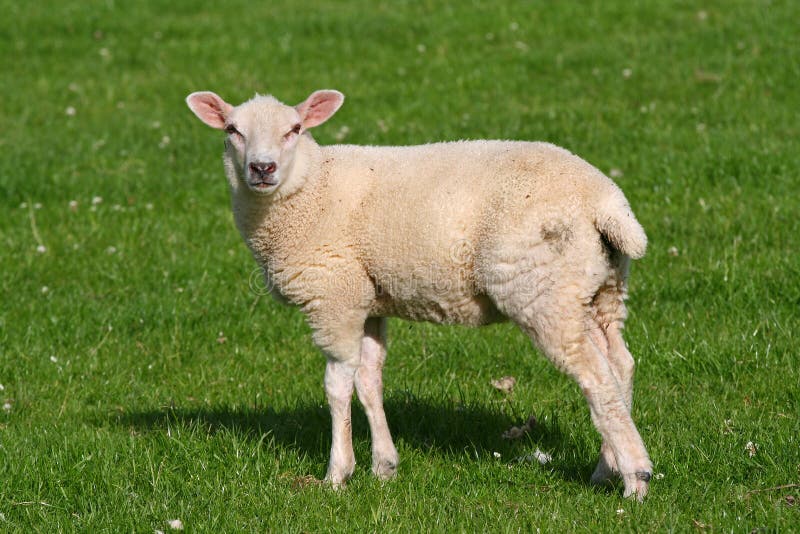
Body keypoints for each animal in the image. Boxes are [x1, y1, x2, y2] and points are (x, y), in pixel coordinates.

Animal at [185, 89, 653, 500]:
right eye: (232, 130)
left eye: (294, 129)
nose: (261, 168)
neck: (310, 186)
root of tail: (605, 203)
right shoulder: (368, 300)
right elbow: (369, 379)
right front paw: (384, 467)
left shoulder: (335, 298)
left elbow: (338, 384)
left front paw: (337, 473)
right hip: (597, 288)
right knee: (620, 365)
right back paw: (606, 468)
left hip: (544, 292)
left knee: (596, 378)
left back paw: (635, 478)